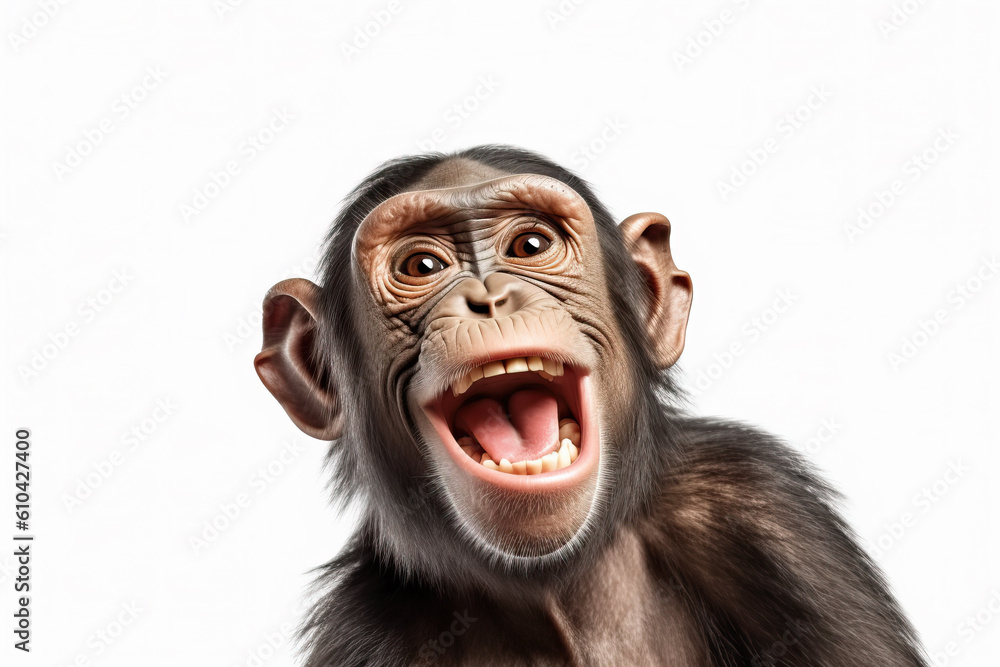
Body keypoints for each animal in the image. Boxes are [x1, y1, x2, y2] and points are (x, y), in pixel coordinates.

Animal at [254, 145, 927, 666]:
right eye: (421, 265)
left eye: (530, 245)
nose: (488, 297)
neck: (559, 596)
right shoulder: (364, 633)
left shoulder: (765, 513)